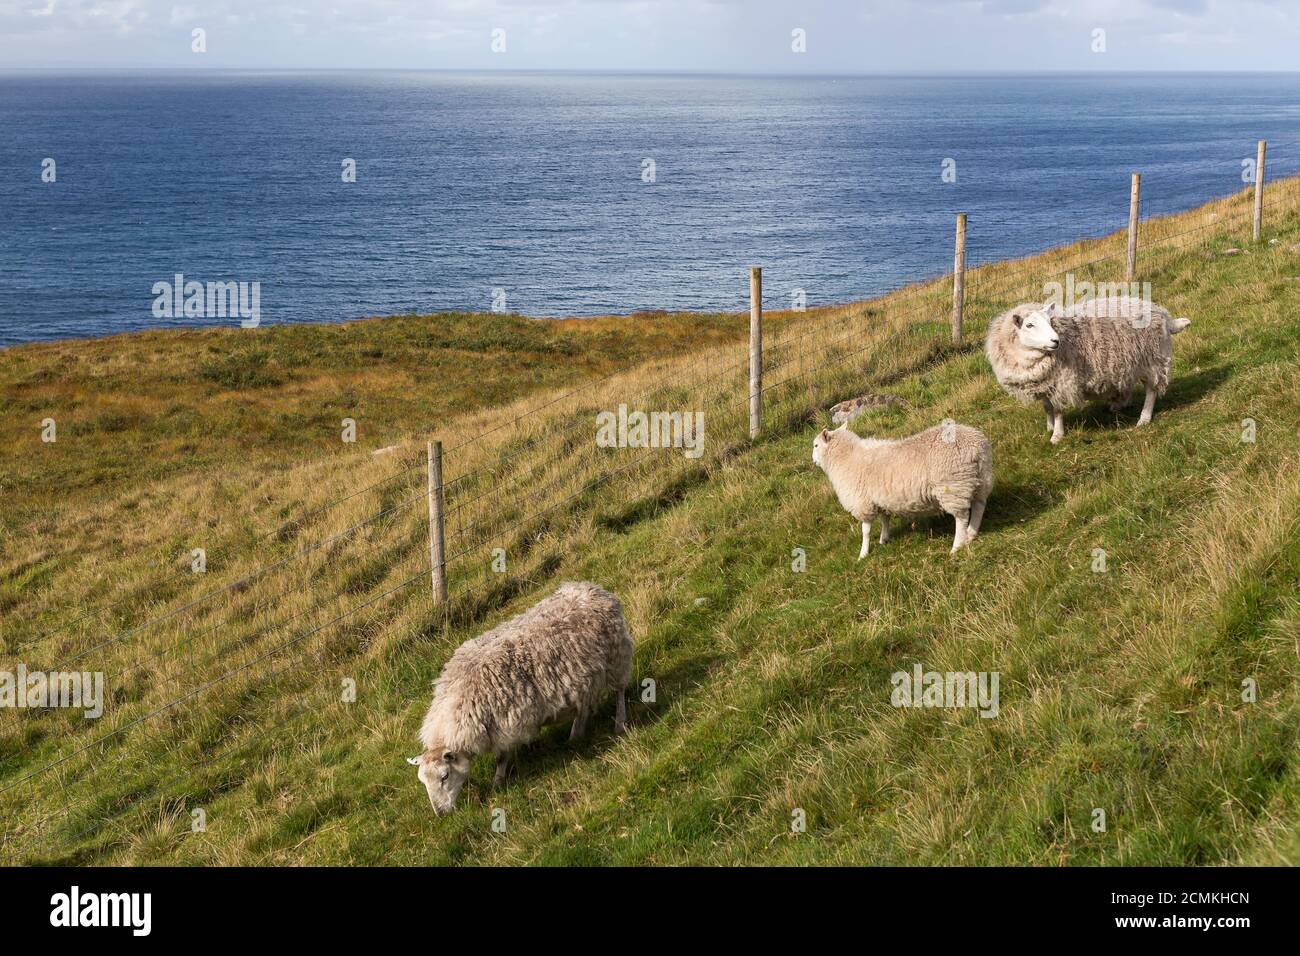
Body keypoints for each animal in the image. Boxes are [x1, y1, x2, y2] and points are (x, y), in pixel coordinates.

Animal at [406, 581, 633, 815]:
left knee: (620, 691)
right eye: (424, 782)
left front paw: (498, 781)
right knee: (584, 704)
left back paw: (619, 723)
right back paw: (576, 735)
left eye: (445, 776)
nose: (441, 814)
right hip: (586, 675)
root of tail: (589, 587)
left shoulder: (506, 725)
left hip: (617, 656)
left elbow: (501, 757)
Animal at [812, 420, 994, 556]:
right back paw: (971, 534)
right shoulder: (880, 499)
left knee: (961, 517)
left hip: (953, 486)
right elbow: (885, 519)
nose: (813, 461)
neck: (846, 457)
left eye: (815, 445)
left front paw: (863, 554)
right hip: (980, 478)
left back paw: (957, 546)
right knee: (979, 505)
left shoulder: (863, 503)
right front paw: (884, 539)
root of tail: (976, 446)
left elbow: (866, 531)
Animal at [985, 297, 1191, 444]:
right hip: (1129, 360)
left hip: (1153, 359)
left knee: (1151, 390)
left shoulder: (1061, 382)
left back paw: (1144, 418)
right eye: (1029, 325)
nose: (1055, 341)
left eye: (1050, 322)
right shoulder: (1045, 382)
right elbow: (1047, 407)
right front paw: (1049, 427)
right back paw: (1120, 404)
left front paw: (1057, 436)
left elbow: (1057, 409)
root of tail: (1162, 313)